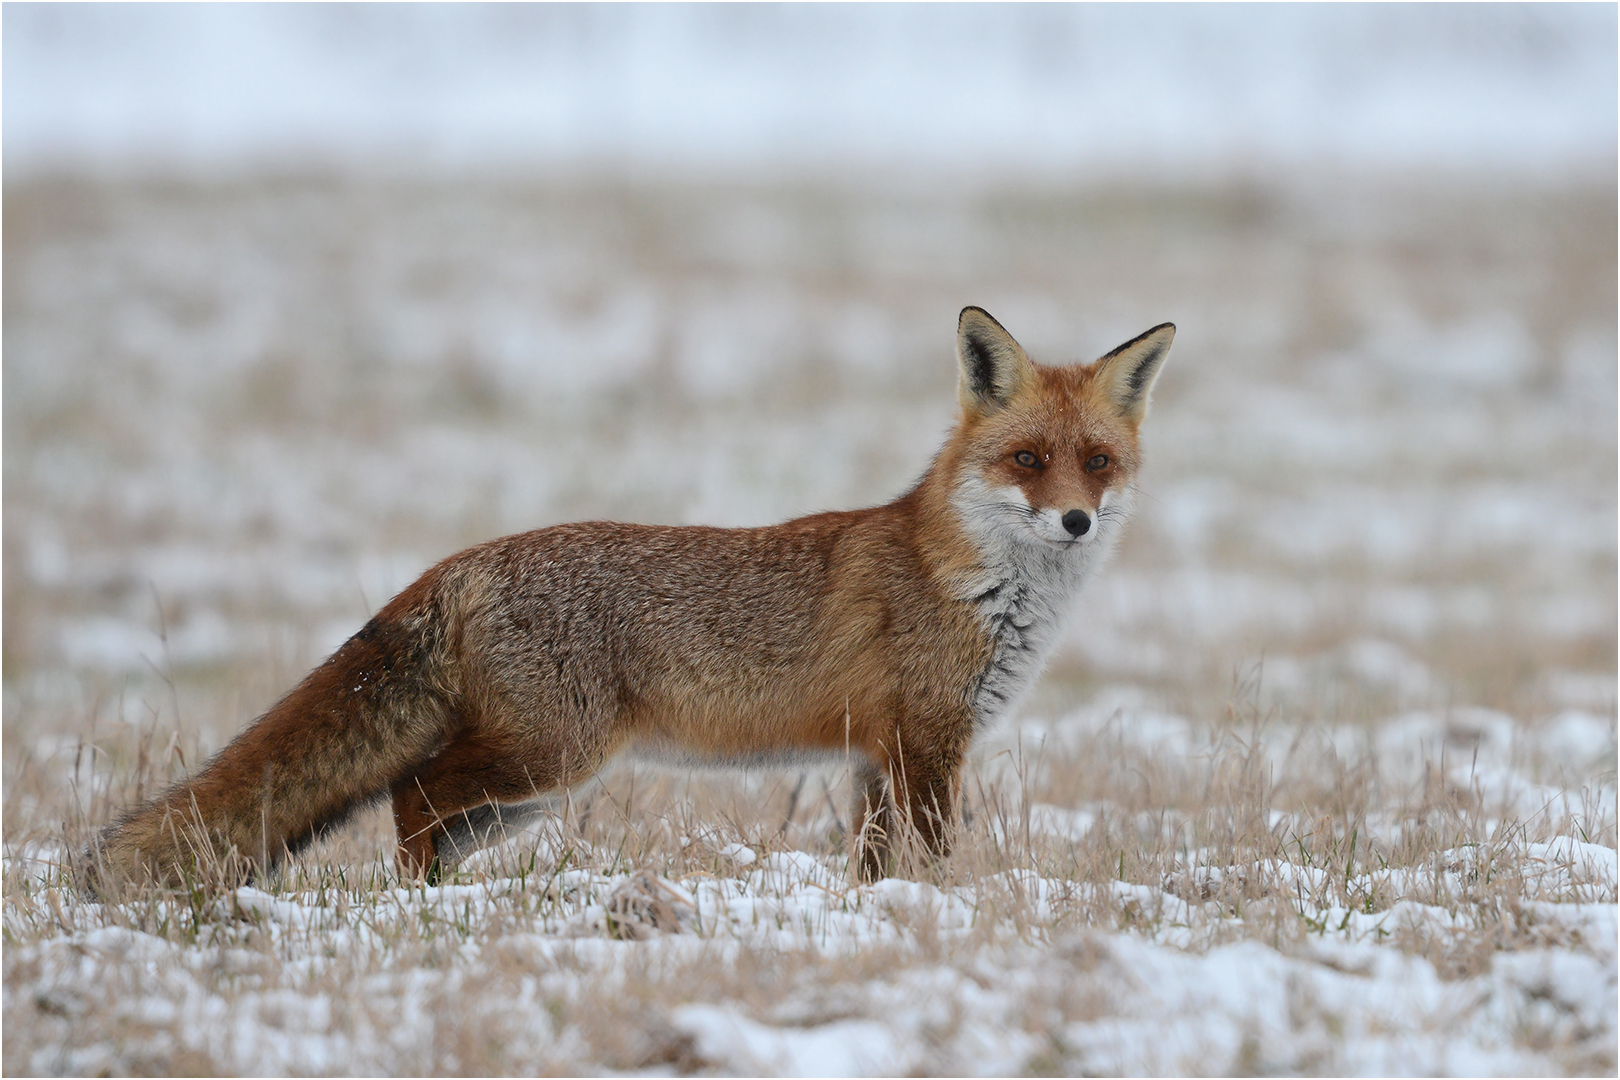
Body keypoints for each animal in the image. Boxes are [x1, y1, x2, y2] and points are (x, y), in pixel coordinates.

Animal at [85, 307, 1173, 893]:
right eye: (1027, 461)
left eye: (1096, 463)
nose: (1076, 521)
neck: (982, 588)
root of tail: (460, 562)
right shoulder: (927, 746)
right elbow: (938, 858)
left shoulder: (876, 756)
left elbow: (874, 863)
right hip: (552, 756)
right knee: (408, 792)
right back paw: (419, 910)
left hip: (527, 789)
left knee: (423, 810)